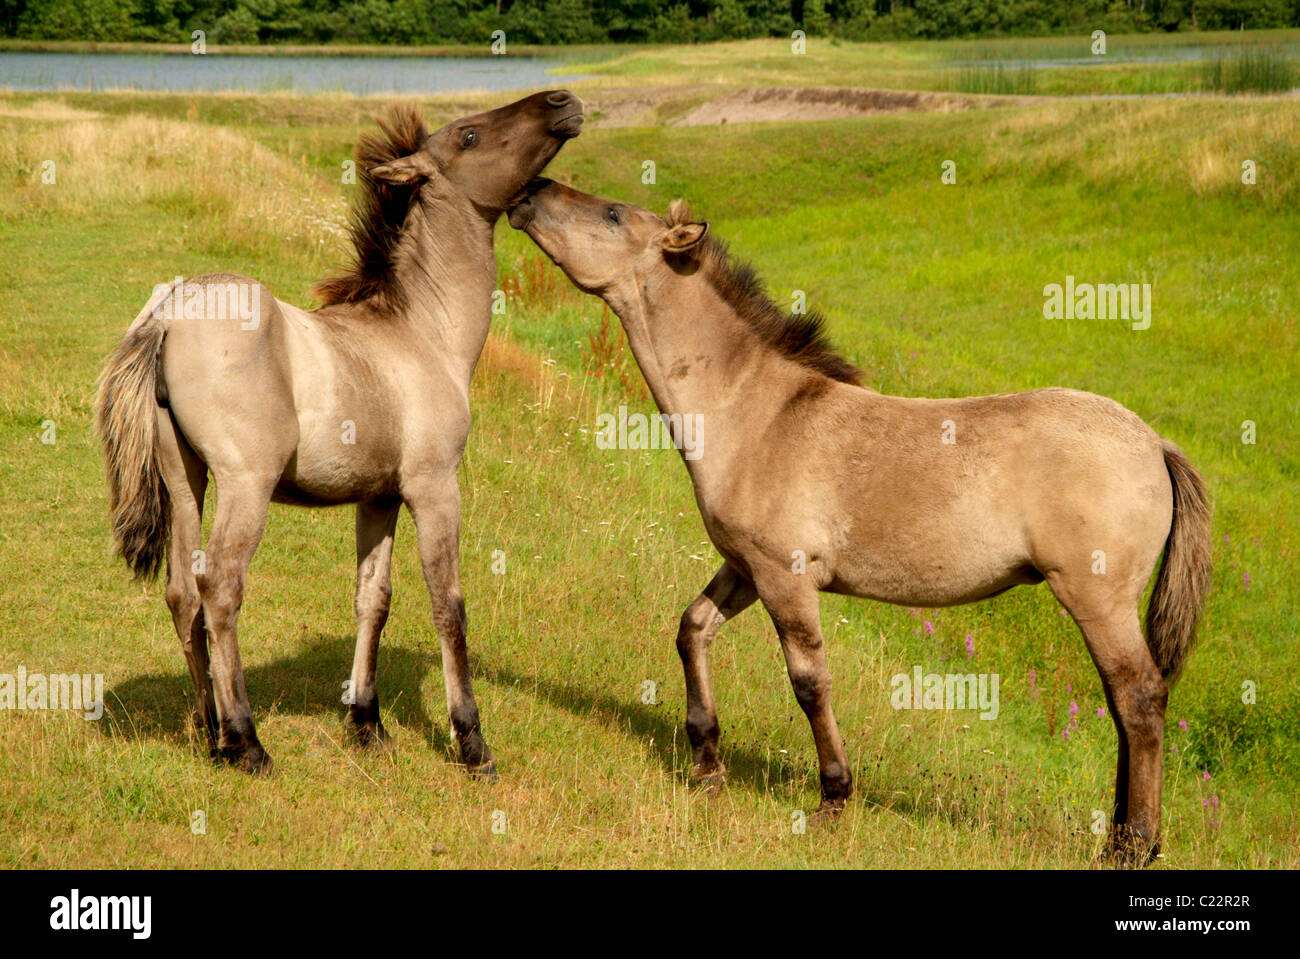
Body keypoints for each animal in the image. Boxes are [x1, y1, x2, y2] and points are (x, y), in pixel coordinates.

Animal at [95, 91, 583, 776]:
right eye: (468, 135)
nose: (563, 101)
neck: (422, 332)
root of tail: (167, 313)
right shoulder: (435, 488)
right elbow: (448, 603)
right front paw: (471, 740)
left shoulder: (378, 497)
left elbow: (372, 599)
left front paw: (367, 723)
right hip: (245, 484)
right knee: (219, 587)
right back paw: (246, 741)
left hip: (185, 479)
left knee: (182, 594)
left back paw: (212, 733)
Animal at [508, 179, 1212, 865]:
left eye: (612, 213)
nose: (529, 190)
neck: (760, 415)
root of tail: (1155, 443)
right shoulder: (745, 568)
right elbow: (693, 630)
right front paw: (707, 765)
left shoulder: (785, 578)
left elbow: (810, 684)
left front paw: (833, 798)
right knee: (1122, 704)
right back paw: (1119, 835)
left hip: (1096, 597)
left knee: (1139, 699)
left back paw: (1134, 844)